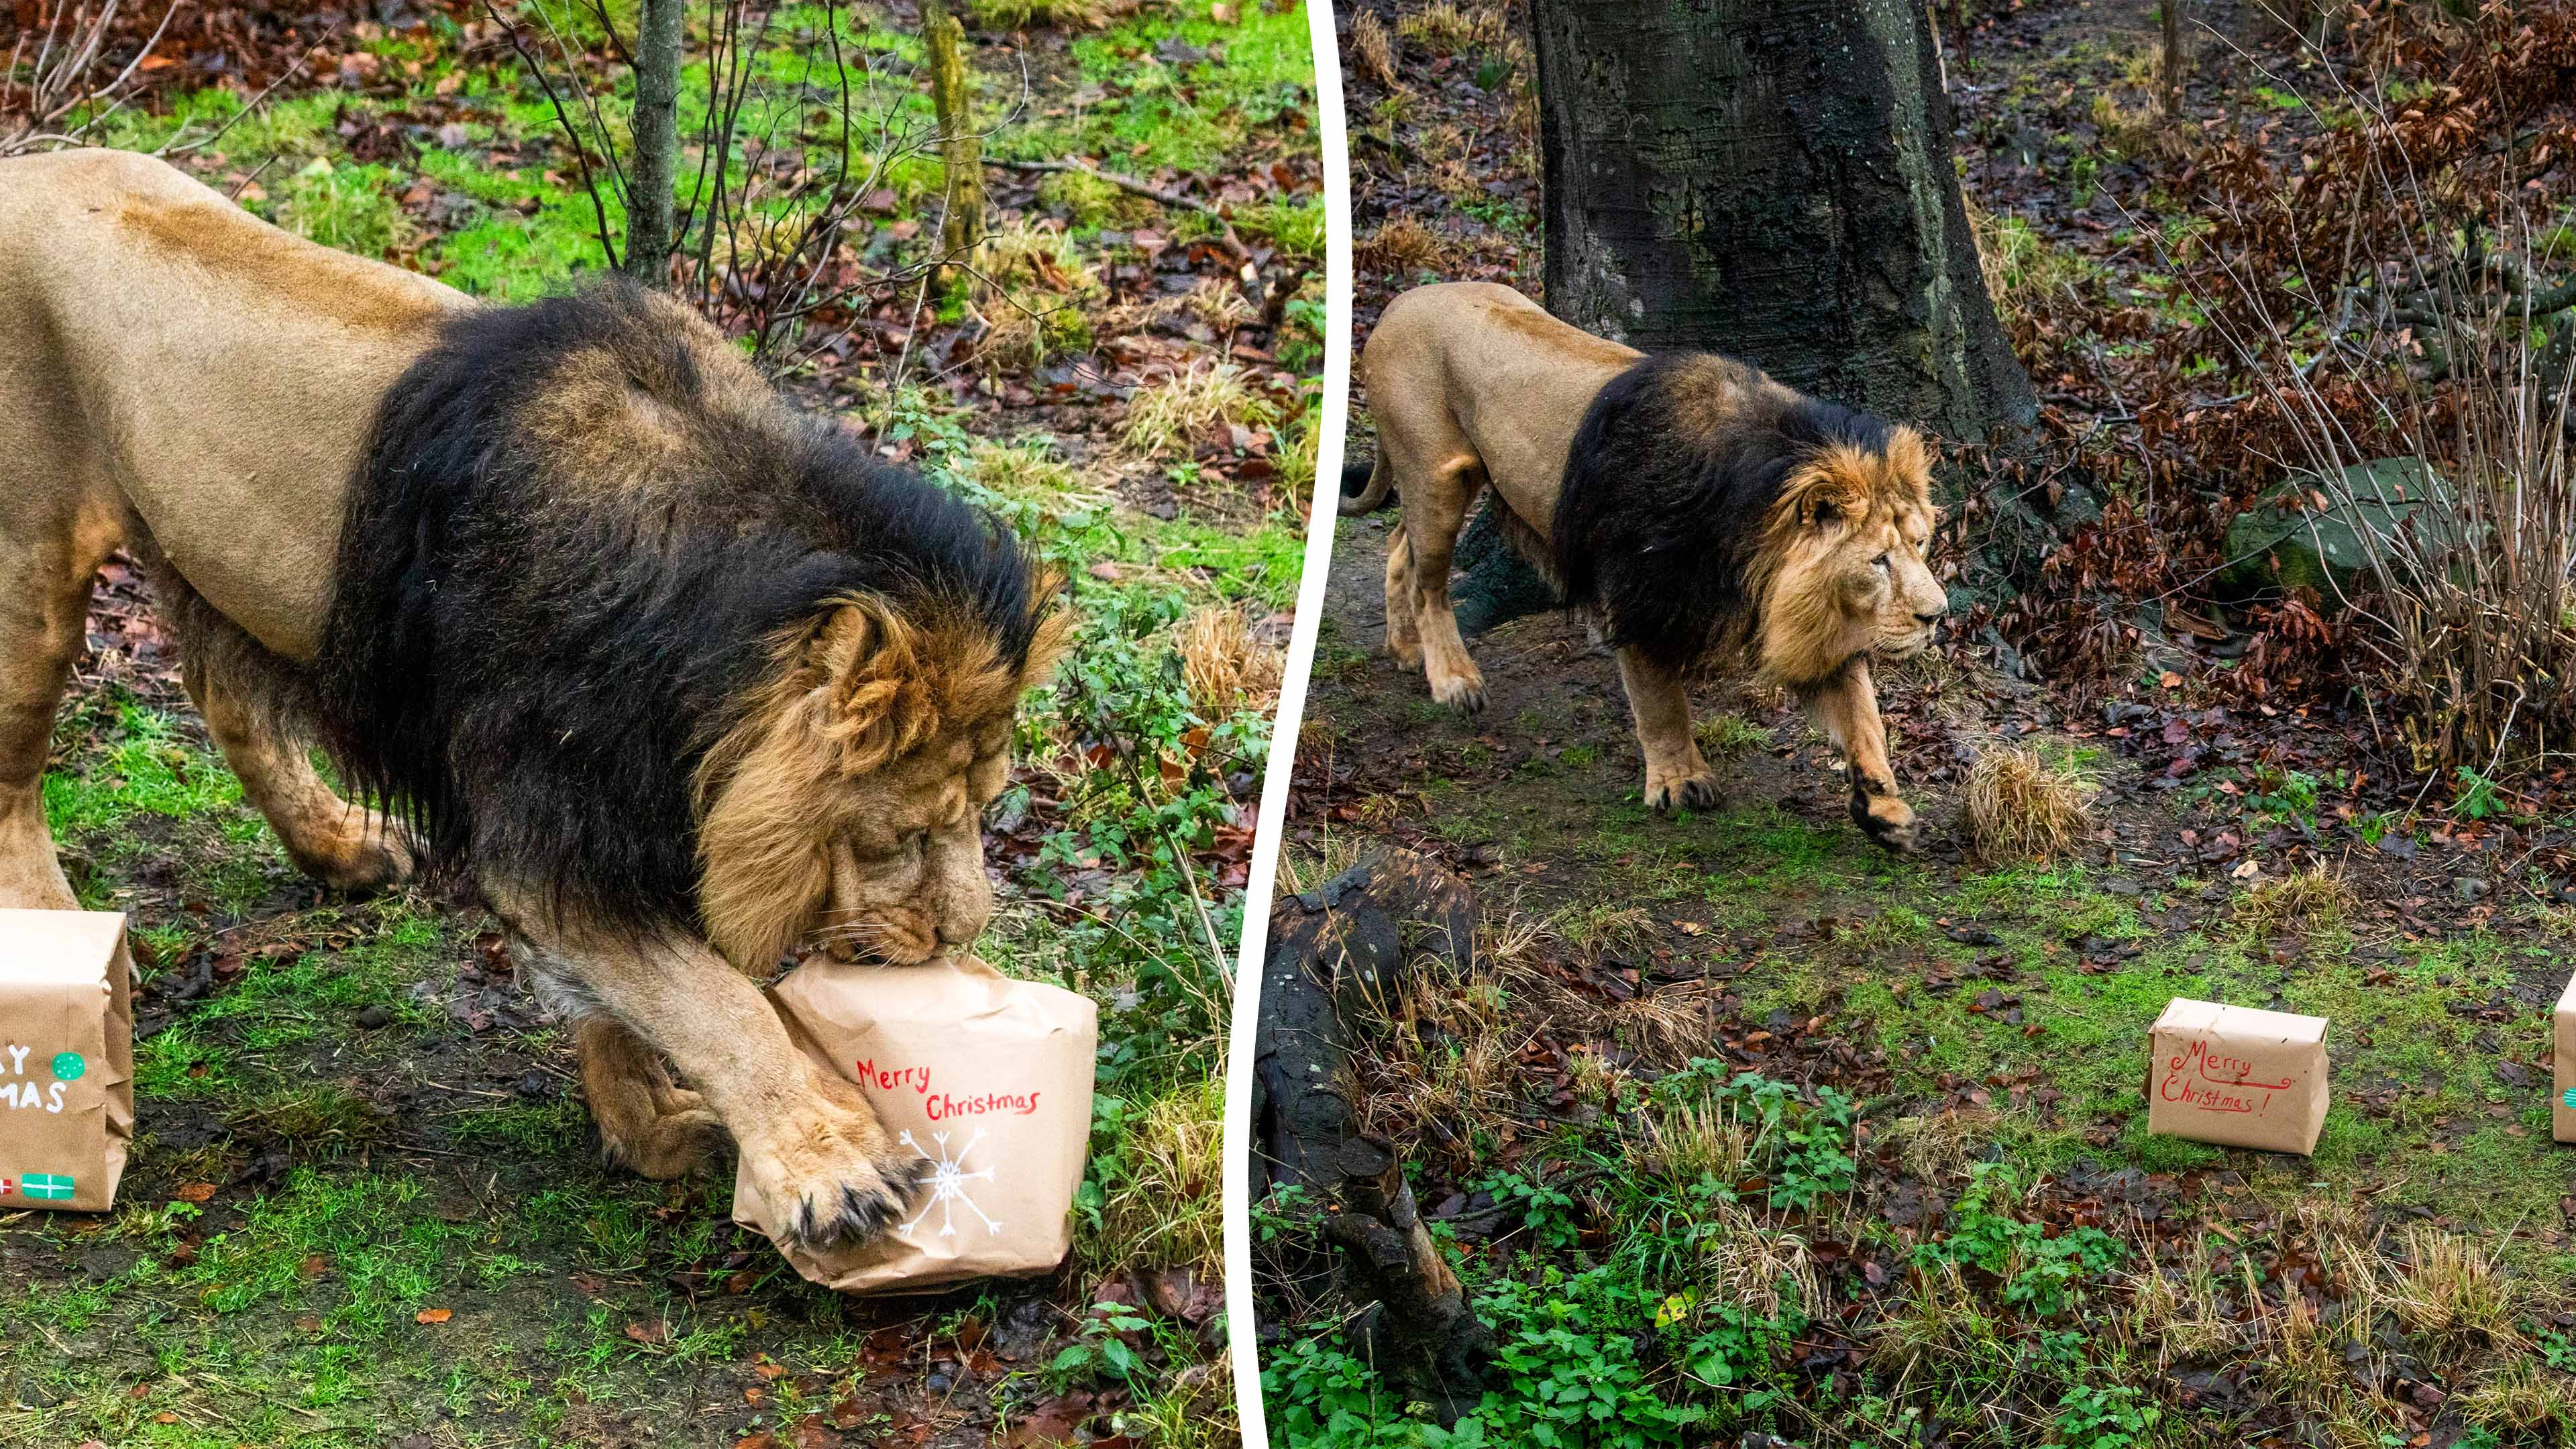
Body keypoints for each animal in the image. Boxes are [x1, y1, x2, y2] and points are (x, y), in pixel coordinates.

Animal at [0, 148, 1068, 1245]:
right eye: (899, 837)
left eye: (985, 813)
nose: (963, 938)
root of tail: (25, 164)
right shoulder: (544, 829)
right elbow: (722, 1006)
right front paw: (833, 1166)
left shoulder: (622, 821)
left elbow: (629, 1005)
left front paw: (646, 1130)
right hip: (29, 569)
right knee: (17, 787)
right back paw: (67, 945)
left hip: (205, 564)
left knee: (222, 696)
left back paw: (340, 848)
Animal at [1343, 281, 1946, 852]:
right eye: (1878, 561)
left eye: (1920, 545)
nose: (1937, 616)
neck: (1746, 531)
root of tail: (1400, 303)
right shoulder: (1638, 596)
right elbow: (1660, 702)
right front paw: (1680, 781)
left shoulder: (1816, 616)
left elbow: (1863, 716)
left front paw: (1884, 807)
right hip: (1435, 477)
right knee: (1429, 583)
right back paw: (1452, 679)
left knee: (1399, 547)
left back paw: (1405, 648)